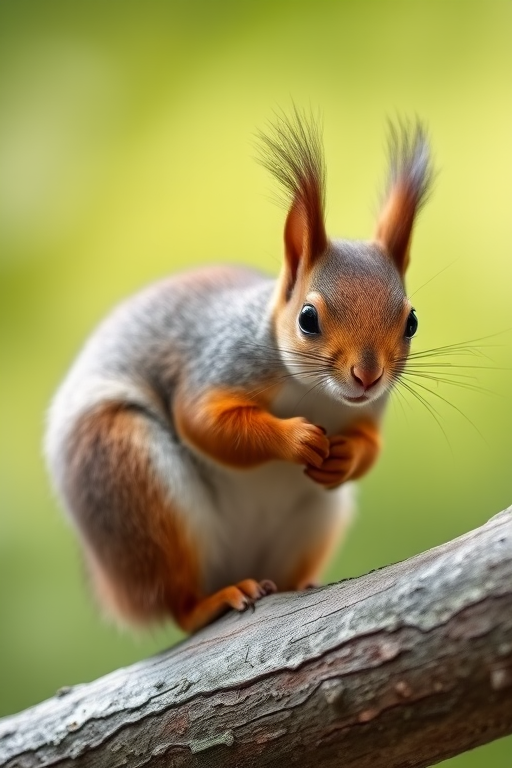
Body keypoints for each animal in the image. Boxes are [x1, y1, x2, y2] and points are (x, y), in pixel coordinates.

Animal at [45, 109, 432, 633]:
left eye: (411, 321)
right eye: (308, 318)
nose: (367, 376)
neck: (314, 391)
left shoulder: (370, 409)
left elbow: (371, 447)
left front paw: (345, 456)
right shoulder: (221, 361)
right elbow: (204, 422)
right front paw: (298, 439)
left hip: (315, 519)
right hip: (126, 470)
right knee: (179, 604)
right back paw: (213, 600)